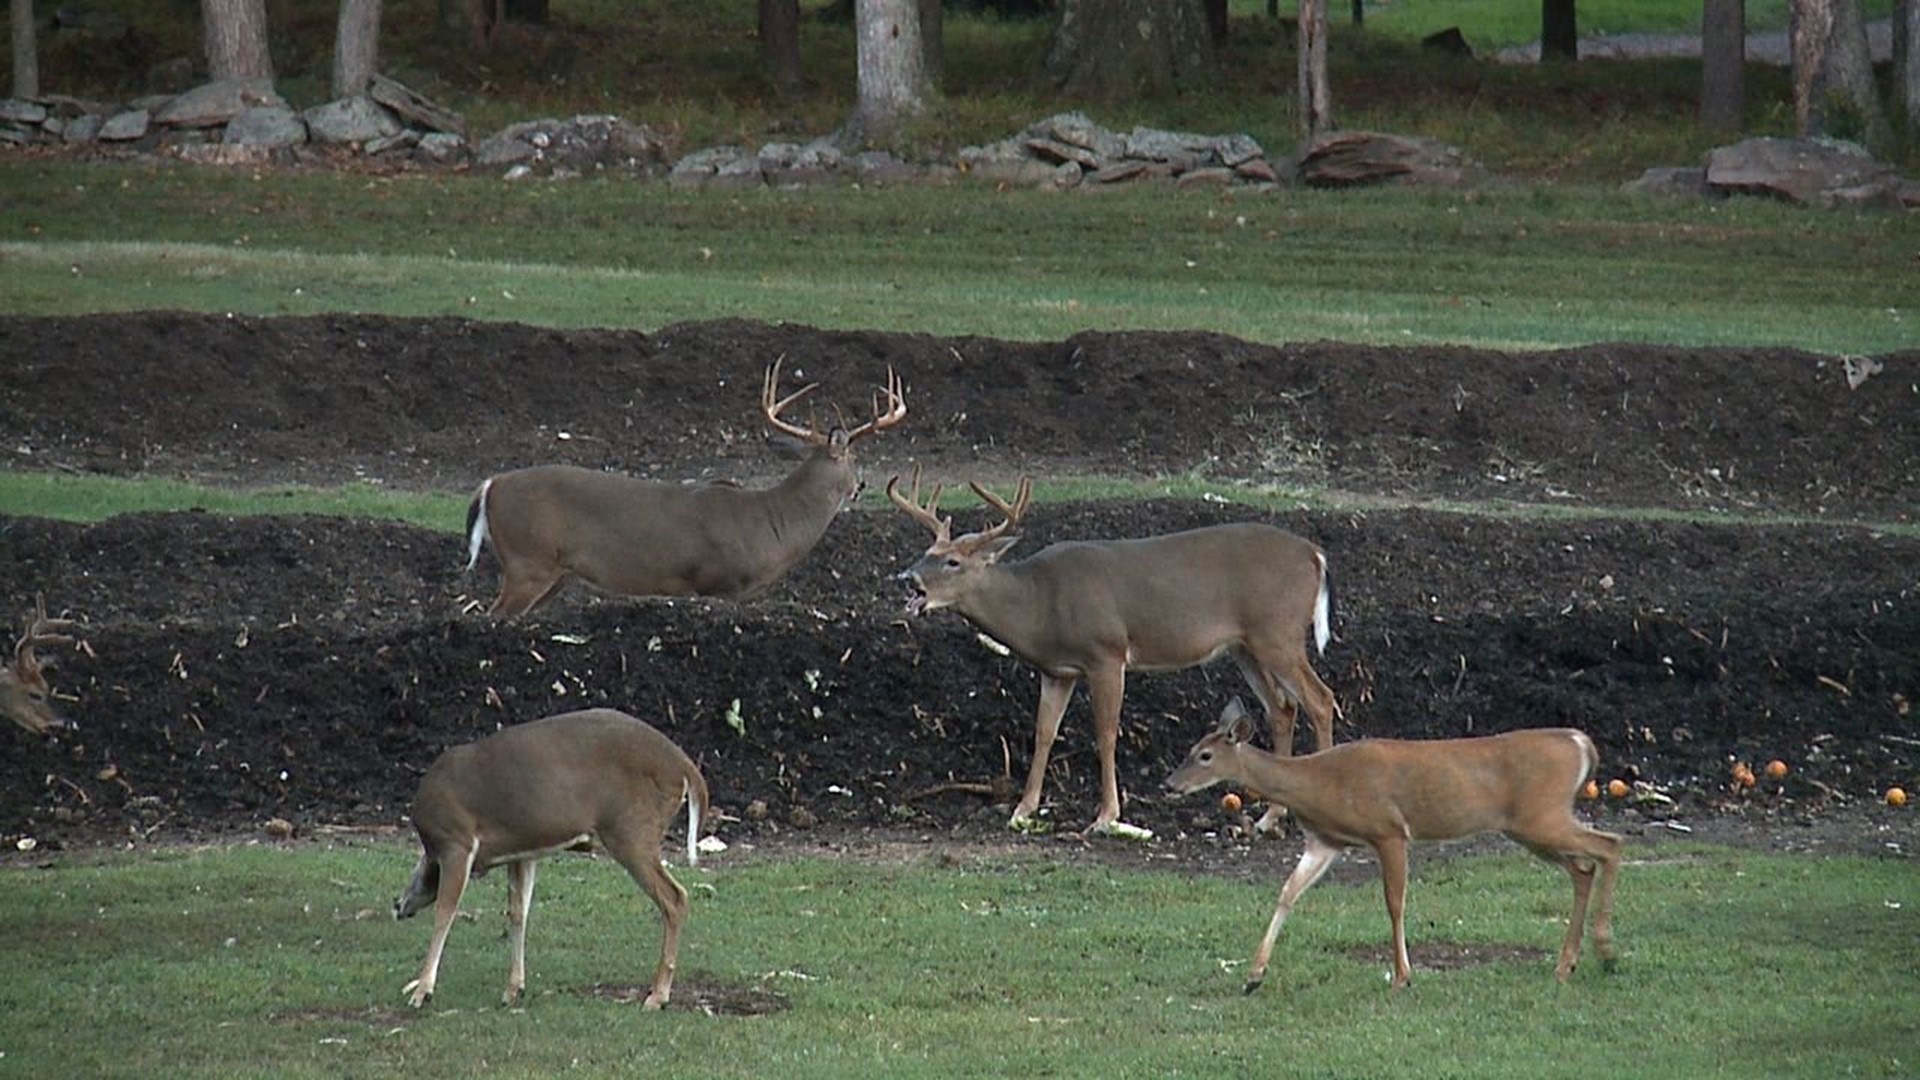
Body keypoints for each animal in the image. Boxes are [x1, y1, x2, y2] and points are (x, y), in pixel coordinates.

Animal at [393, 708, 711, 1010]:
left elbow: (445, 912)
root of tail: (685, 768)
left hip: (631, 832)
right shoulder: (523, 851)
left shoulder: (457, 841)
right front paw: (514, 989)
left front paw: (422, 991)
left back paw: (657, 997)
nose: (397, 906)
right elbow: (518, 912)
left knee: (675, 897)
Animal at [465, 358, 907, 618]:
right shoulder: (717, 582)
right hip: (528, 559)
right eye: (853, 458)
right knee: (493, 615)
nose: (861, 484)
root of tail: (490, 485)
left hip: (553, 572)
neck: (771, 524)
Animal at [887, 468, 1338, 838]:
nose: (906, 577)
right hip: (1245, 645)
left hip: (1277, 632)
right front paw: (1022, 810)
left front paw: (1106, 816)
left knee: (1320, 699)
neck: (1040, 606)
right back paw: (1269, 817)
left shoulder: (1105, 653)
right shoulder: (1058, 670)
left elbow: (1105, 733)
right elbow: (1044, 732)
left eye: (952, 562)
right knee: (1282, 708)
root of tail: (1316, 554)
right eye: (926, 554)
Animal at [1165, 697, 1622, 992]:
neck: (1318, 783)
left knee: (1609, 844)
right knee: (1584, 867)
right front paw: (1253, 976)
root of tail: (1581, 743)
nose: (1169, 784)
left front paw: (1403, 975)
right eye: (1190, 749)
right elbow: (1287, 893)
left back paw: (1606, 952)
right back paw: (1567, 965)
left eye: (1204, 755)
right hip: (1529, 827)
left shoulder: (1389, 831)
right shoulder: (1326, 842)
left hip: (1541, 816)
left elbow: (1394, 902)